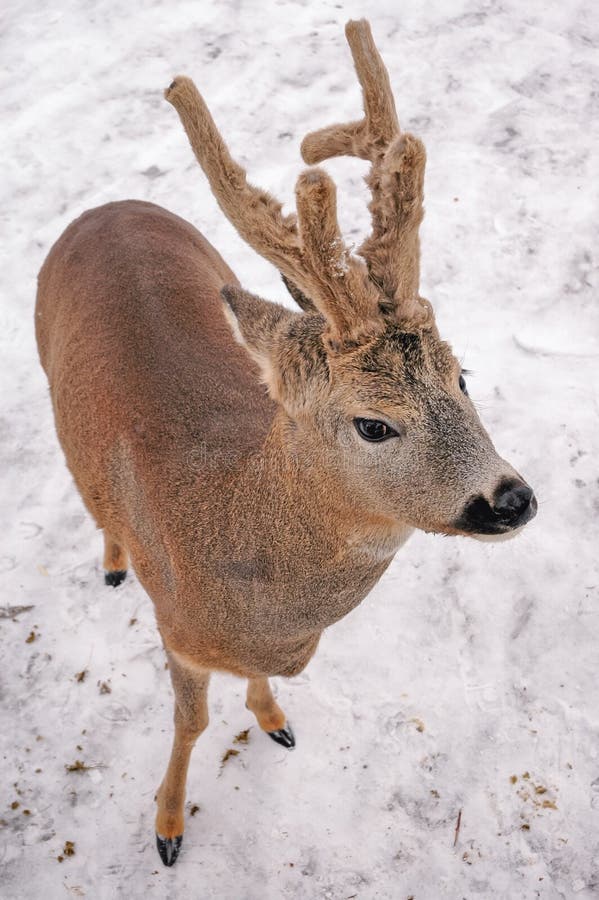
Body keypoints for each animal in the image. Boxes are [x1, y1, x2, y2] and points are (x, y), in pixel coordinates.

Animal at [35, 19, 537, 867]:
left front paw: (274, 720)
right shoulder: (175, 629)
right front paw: (167, 829)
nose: (510, 498)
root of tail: (107, 205)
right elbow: (190, 721)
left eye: (461, 375)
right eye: (372, 423)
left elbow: (257, 697)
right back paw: (110, 562)